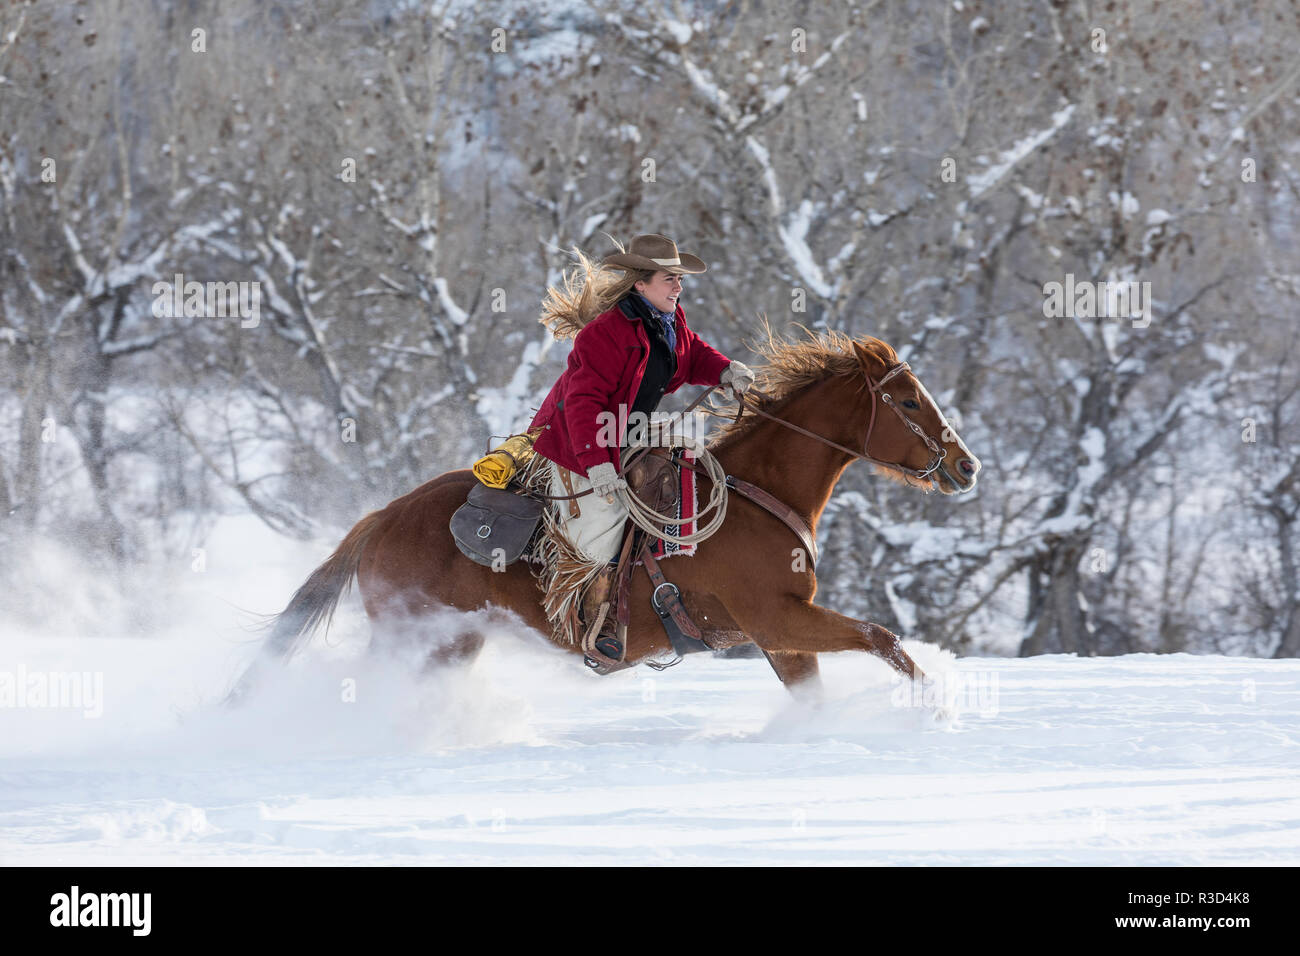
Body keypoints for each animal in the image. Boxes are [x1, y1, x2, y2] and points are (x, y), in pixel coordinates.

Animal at [226, 329, 980, 704]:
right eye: (907, 401)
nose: (965, 463)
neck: (759, 494)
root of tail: (383, 517)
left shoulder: (780, 637)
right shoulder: (776, 618)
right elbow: (881, 636)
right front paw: (937, 703)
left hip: (452, 644)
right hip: (421, 641)